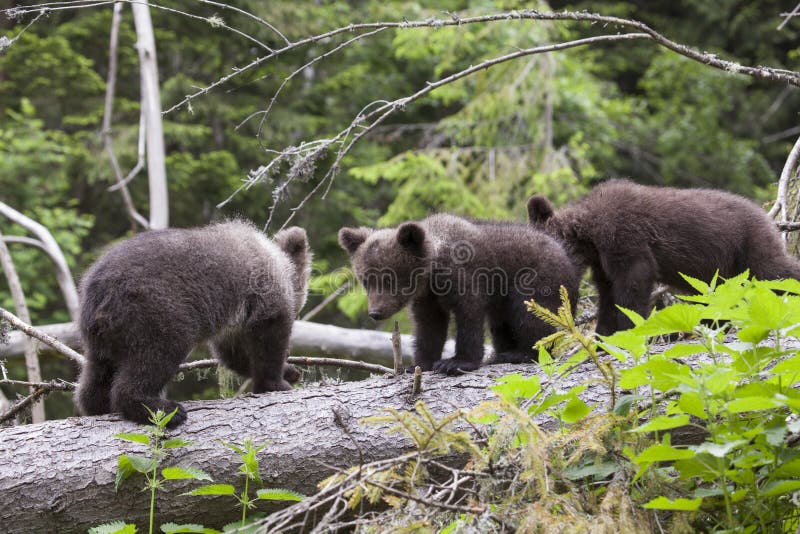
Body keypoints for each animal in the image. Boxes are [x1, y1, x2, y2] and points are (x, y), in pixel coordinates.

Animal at [75, 221, 311, 428]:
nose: (298, 310)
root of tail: (98, 290)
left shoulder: (232, 326)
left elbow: (235, 356)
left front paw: (290, 371)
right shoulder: (261, 293)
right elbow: (269, 339)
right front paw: (276, 383)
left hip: (101, 334)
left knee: (98, 372)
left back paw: (97, 407)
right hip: (155, 311)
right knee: (153, 359)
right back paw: (164, 409)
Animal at [338, 214, 580, 374]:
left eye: (389, 278)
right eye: (366, 280)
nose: (375, 312)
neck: (432, 275)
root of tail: (569, 260)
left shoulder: (465, 277)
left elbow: (469, 316)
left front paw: (455, 362)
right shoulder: (427, 299)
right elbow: (429, 327)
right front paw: (418, 364)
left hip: (535, 280)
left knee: (530, 316)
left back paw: (521, 353)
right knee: (502, 324)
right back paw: (502, 353)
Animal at [527, 179, 800, 335]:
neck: (589, 240)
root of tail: (766, 214)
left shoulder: (624, 238)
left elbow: (633, 283)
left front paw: (629, 327)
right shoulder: (602, 264)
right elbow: (607, 295)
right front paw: (602, 335)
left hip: (748, 244)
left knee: (774, 271)